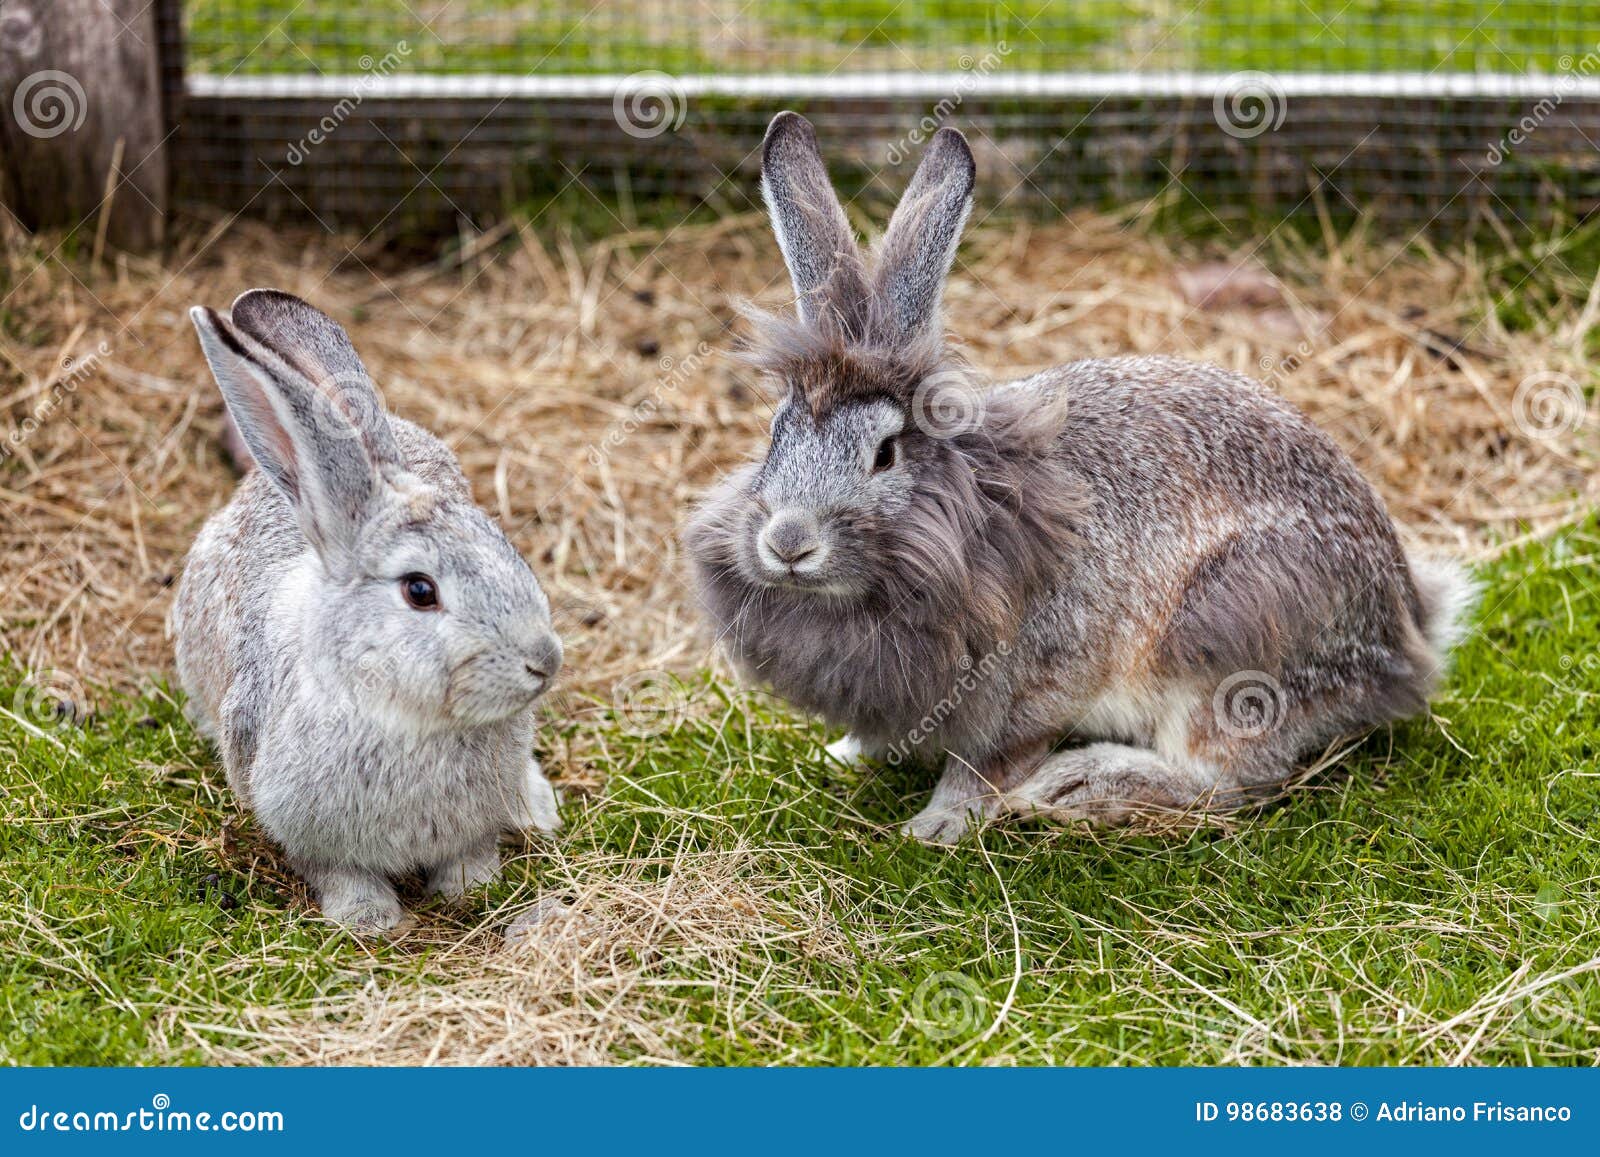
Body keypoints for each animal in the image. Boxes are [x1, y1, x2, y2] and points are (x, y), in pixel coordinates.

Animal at [172, 289, 564, 933]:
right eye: (420, 591)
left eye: (504, 545)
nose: (545, 662)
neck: (403, 713)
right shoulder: (298, 823)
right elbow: (338, 871)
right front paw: (367, 917)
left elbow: (471, 849)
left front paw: (469, 887)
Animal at [685, 112, 1476, 845]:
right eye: (776, 433)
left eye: (884, 455)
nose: (787, 543)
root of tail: (1408, 629)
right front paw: (843, 753)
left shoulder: (1034, 682)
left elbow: (988, 760)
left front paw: (937, 825)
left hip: (1230, 641)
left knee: (1227, 779)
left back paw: (1080, 785)